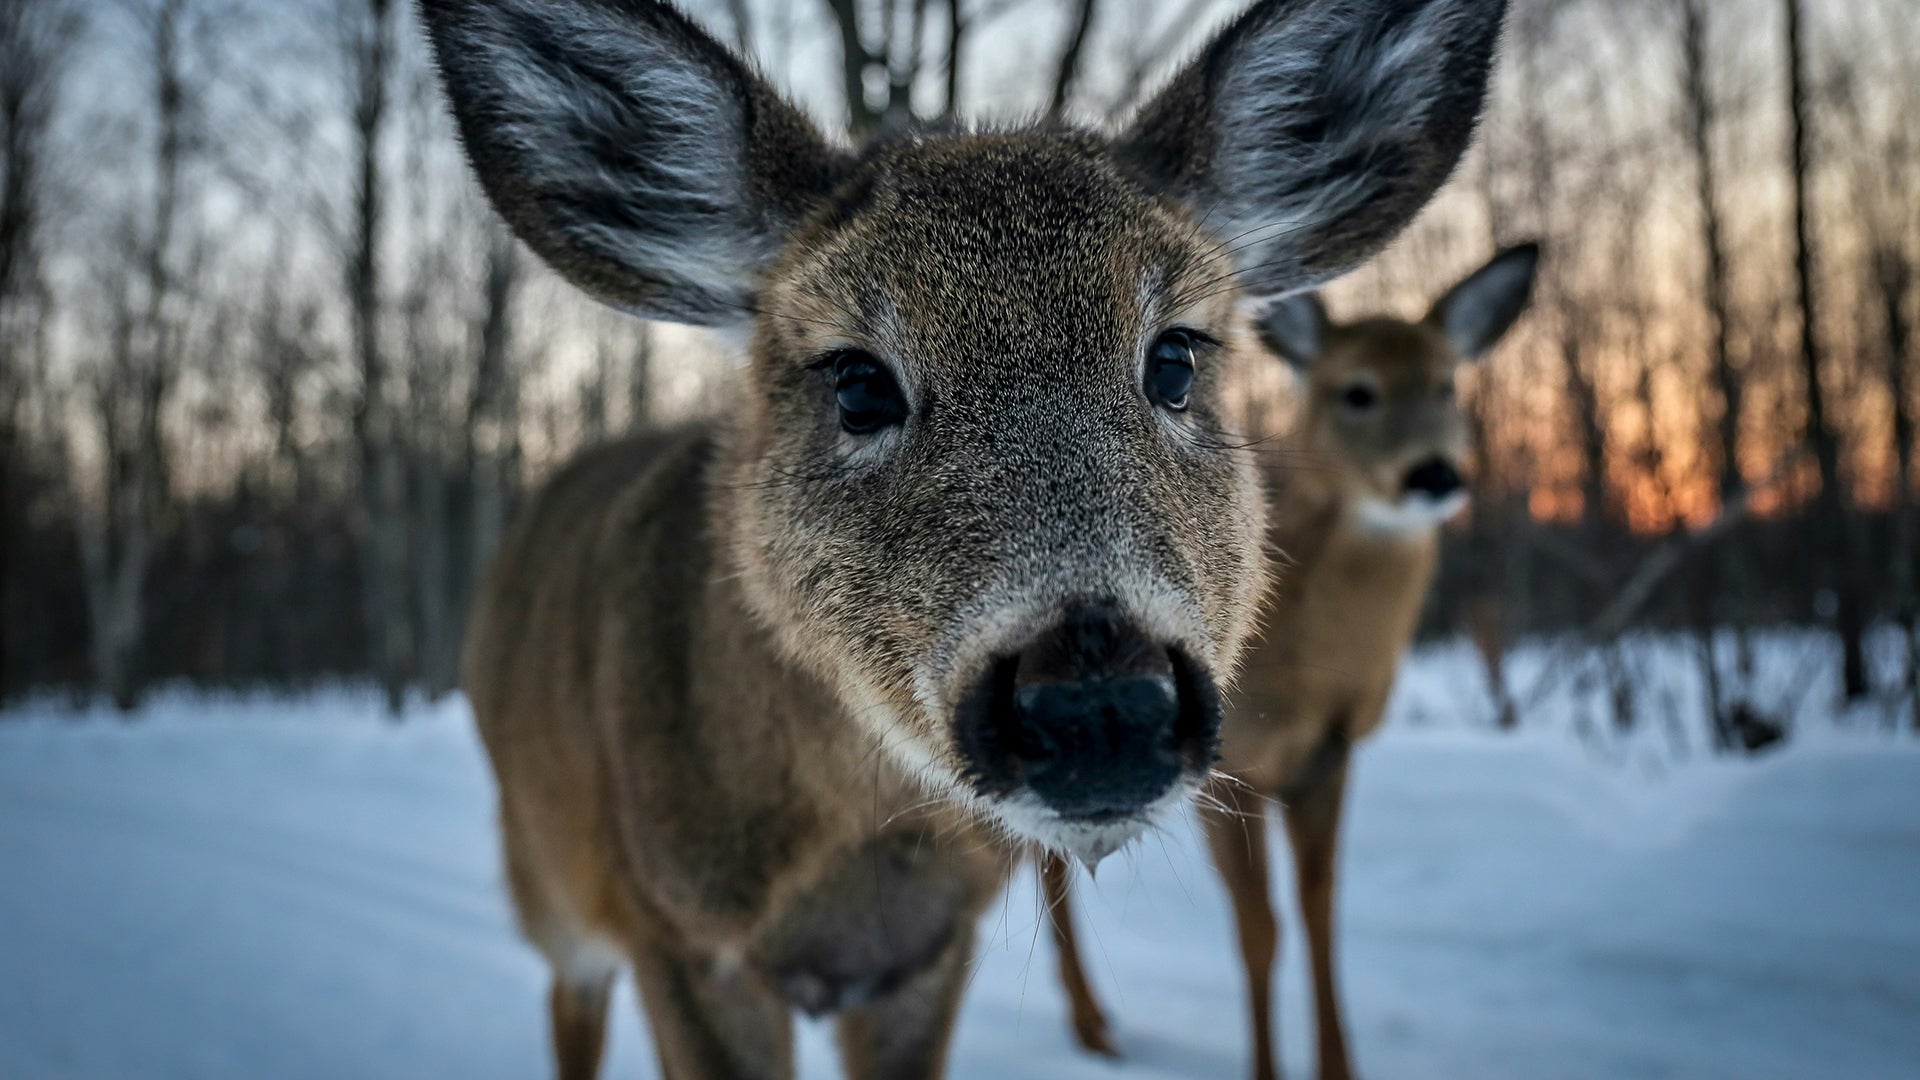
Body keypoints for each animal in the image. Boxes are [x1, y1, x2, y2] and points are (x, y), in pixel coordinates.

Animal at [1045, 242, 1541, 1079]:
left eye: (1446, 383)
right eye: (1356, 391)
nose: (1433, 474)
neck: (1301, 666)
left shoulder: (1326, 755)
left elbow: (1319, 913)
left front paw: (1339, 1066)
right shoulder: (1232, 765)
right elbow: (1259, 929)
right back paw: (1087, 1029)